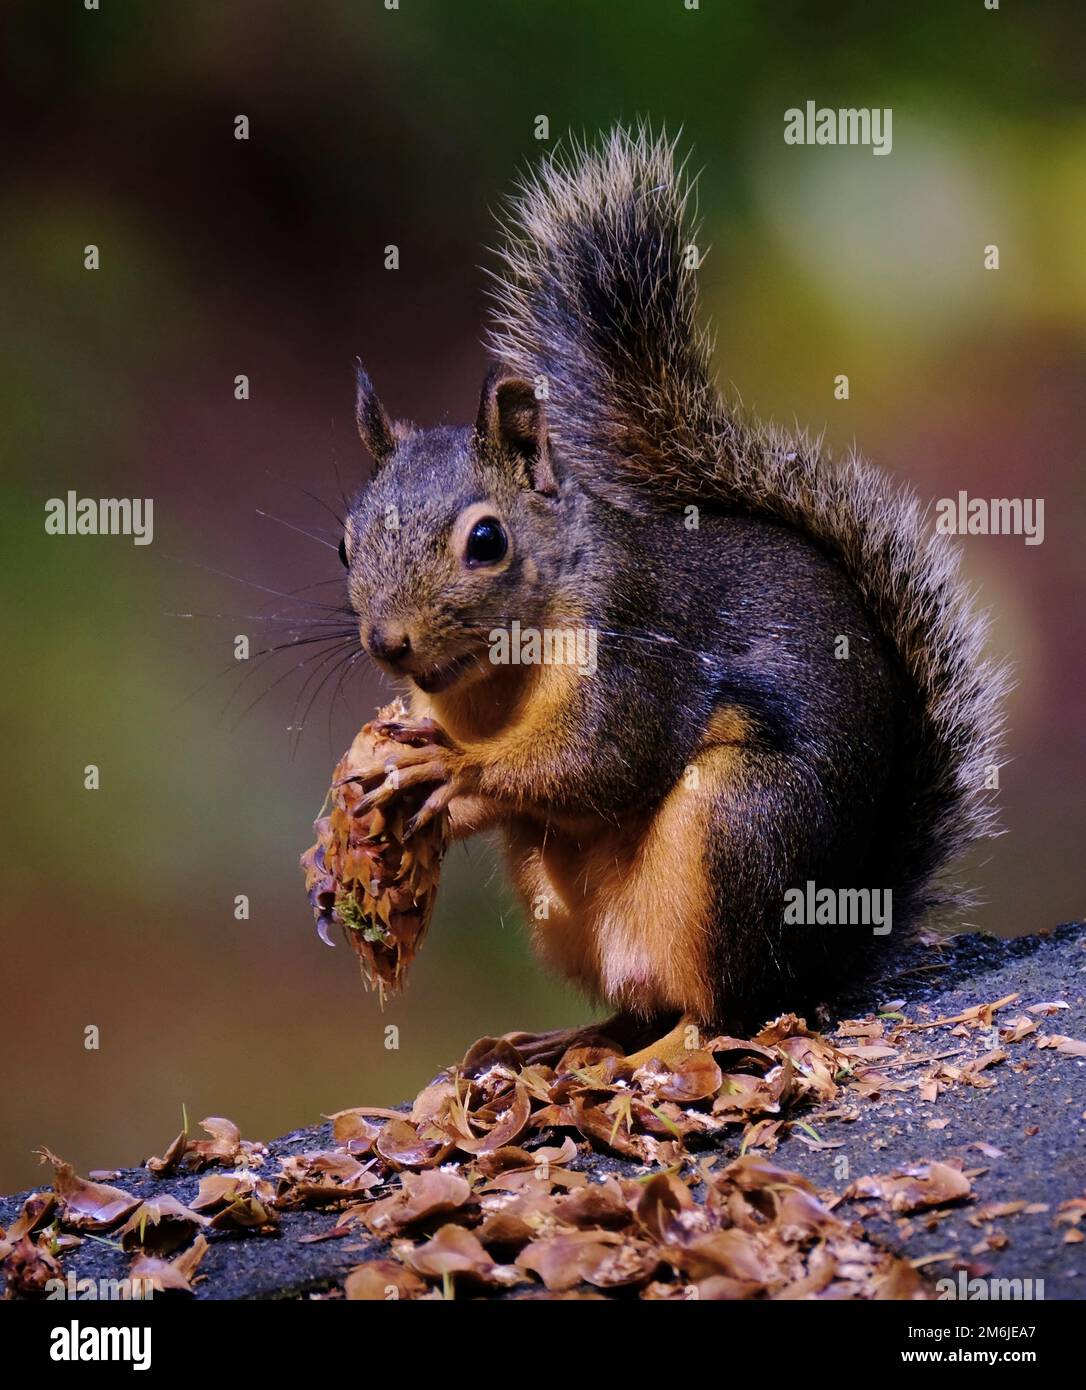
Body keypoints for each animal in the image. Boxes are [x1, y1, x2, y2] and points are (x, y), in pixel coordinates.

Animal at [336, 126, 1007, 1066]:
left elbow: (600, 759)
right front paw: (407, 779)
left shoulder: (636, 641)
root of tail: (835, 949)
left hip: (740, 831)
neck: (494, 682)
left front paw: (454, 766)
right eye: (344, 542)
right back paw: (561, 1043)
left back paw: (655, 1056)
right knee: (639, 1000)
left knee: (718, 1010)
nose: (388, 643)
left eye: (487, 541)